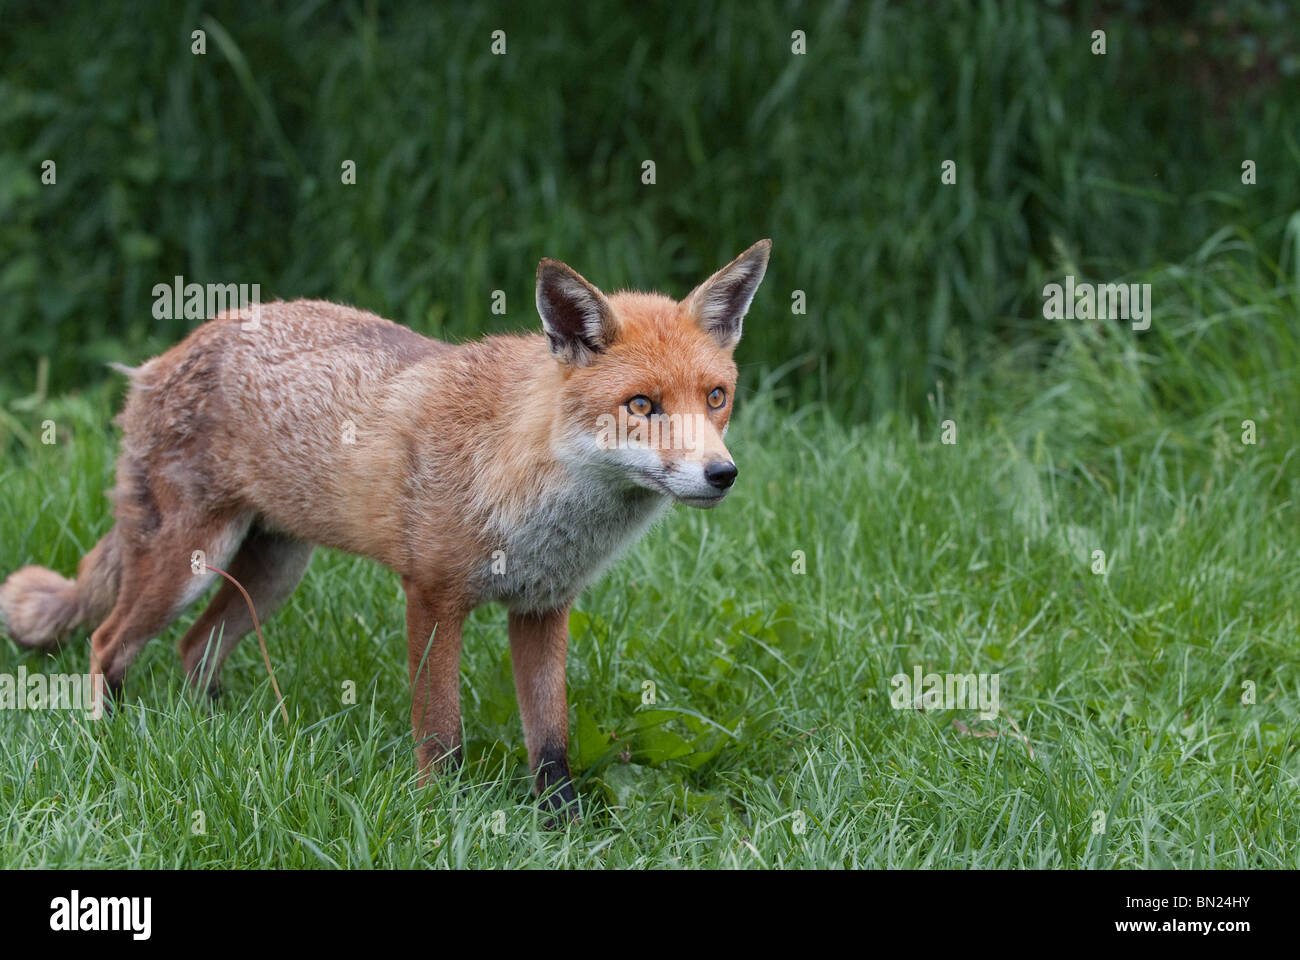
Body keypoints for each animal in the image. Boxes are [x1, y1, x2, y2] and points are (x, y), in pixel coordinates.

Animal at [0, 239, 771, 818]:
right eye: (641, 405)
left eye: (716, 397)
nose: (722, 474)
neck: (527, 475)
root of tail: (165, 355)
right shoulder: (430, 596)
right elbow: (440, 736)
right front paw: (440, 821)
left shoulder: (543, 608)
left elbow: (550, 746)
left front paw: (566, 833)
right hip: (186, 564)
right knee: (107, 643)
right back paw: (109, 743)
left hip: (273, 573)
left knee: (195, 650)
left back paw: (213, 738)